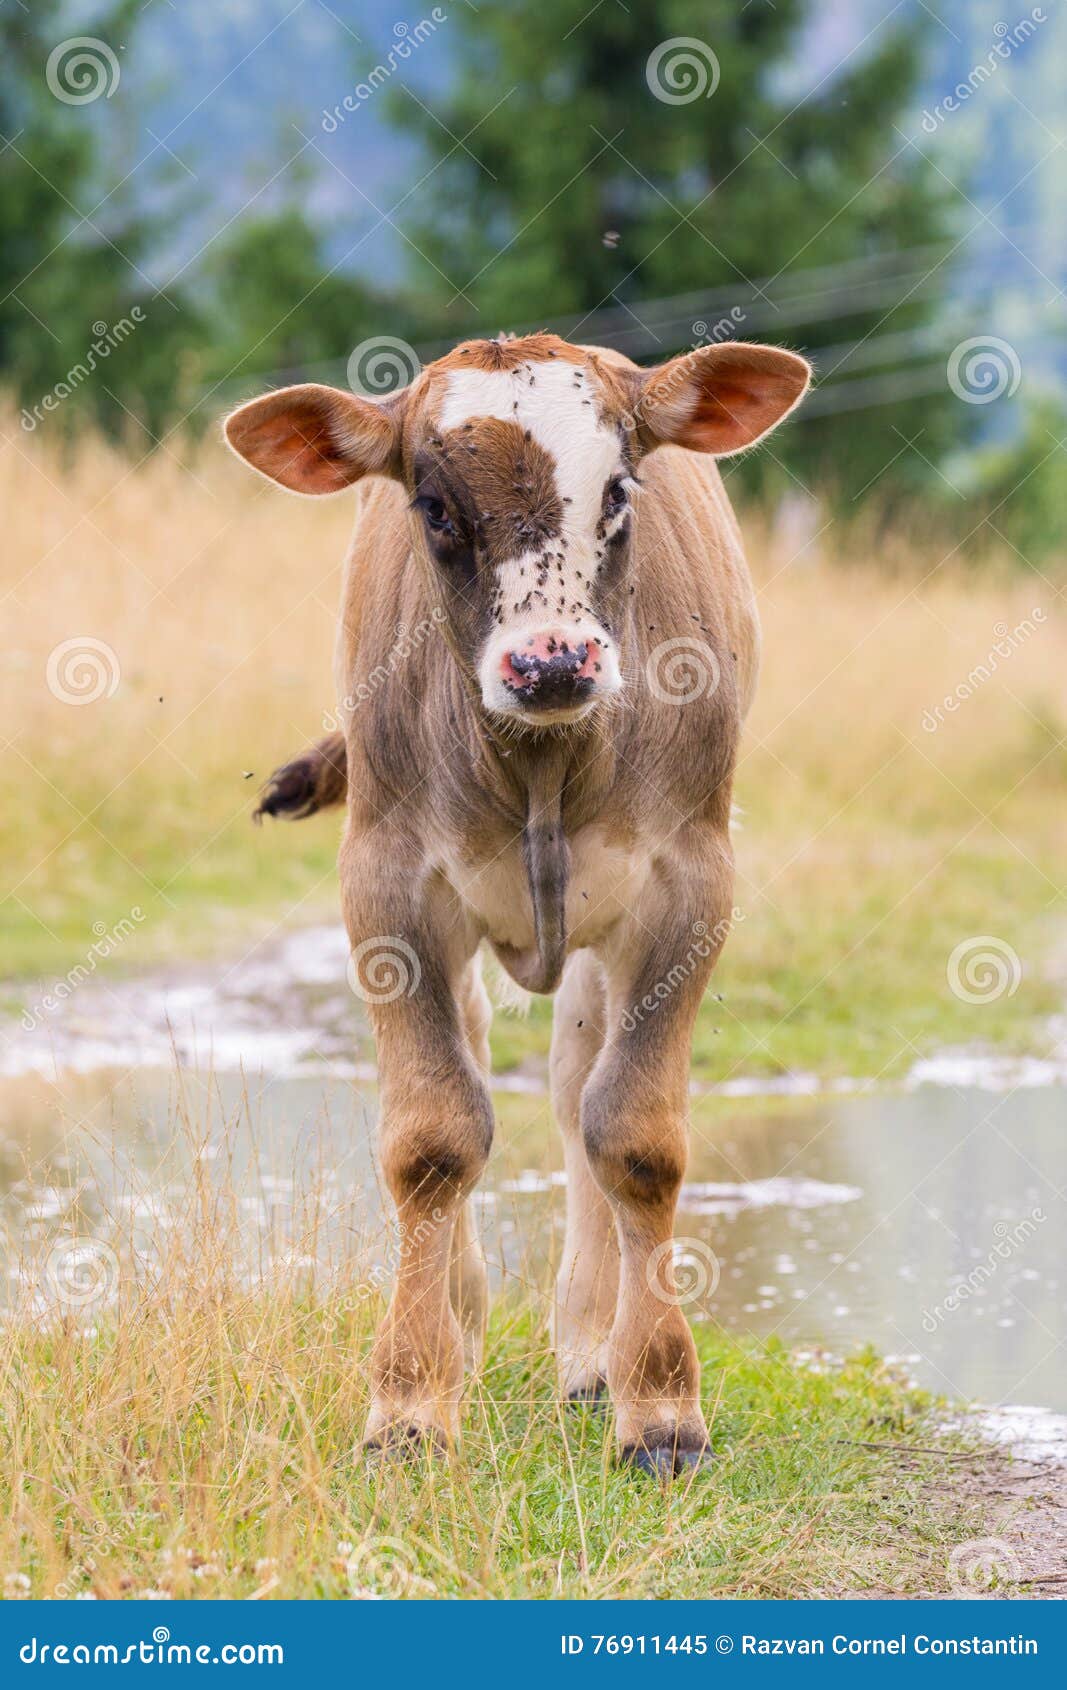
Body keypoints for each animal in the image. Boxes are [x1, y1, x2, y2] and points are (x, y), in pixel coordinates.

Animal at [224, 331, 810, 1477]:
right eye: (433, 507)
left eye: (619, 491)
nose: (550, 661)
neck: (540, 757)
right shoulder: (387, 891)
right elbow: (432, 1138)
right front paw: (411, 1398)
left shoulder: (689, 888)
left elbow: (633, 1135)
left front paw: (658, 1405)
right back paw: (460, 1318)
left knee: (577, 1087)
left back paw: (588, 1347)